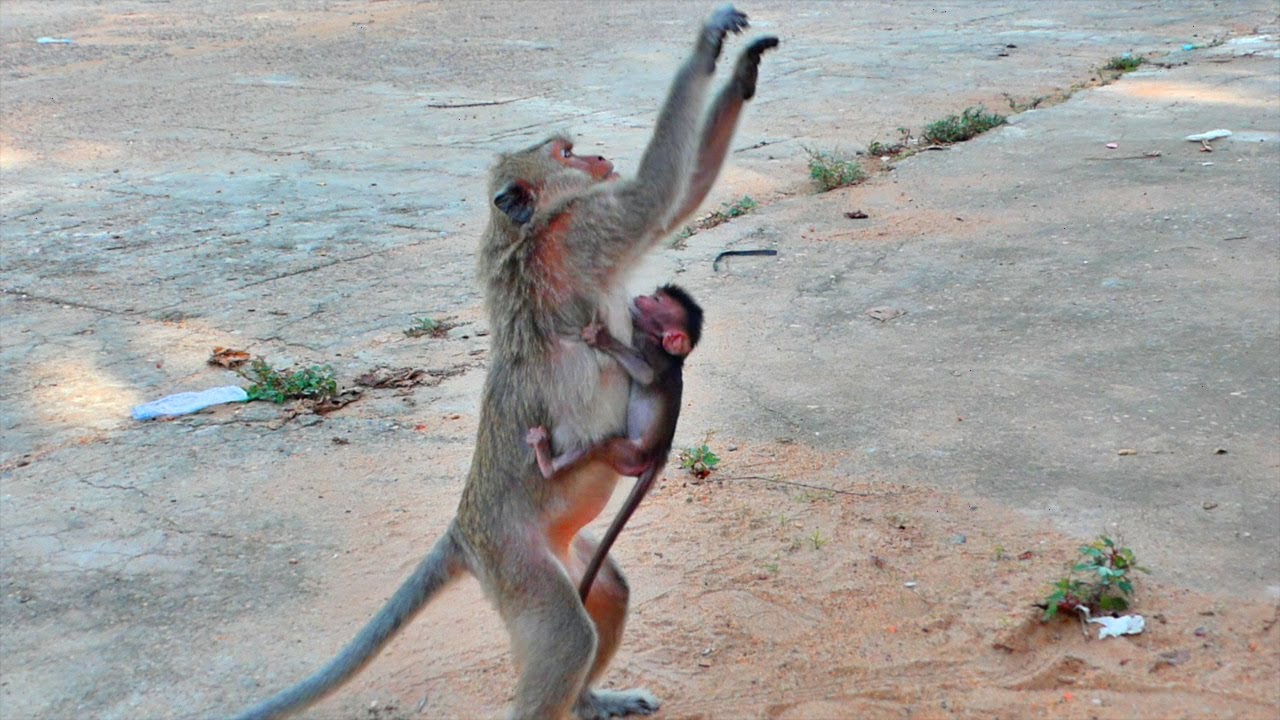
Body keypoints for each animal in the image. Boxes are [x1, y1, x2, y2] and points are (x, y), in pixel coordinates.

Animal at [524, 284, 704, 602]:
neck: (664, 348)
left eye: (656, 301)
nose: (643, 296)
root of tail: (658, 456)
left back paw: (547, 462)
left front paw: (601, 337)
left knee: (598, 444)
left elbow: (646, 374)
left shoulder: (651, 351)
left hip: (628, 454)